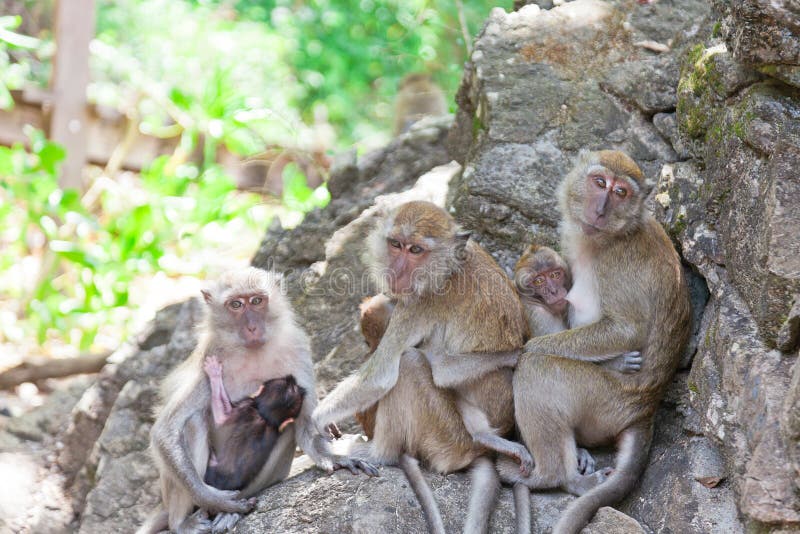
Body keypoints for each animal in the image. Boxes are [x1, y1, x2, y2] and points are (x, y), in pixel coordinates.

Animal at [312, 200, 530, 534]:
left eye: (416, 250)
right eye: (396, 244)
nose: (398, 271)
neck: (450, 267)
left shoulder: (420, 302)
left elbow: (381, 376)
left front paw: (311, 427)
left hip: (447, 437)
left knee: (410, 364)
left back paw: (377, 453)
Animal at [494, 150, 691, 534]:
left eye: (621, 192)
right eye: (600, 183)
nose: (600, 208)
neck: (608, 238)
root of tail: (645, 411)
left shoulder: (620, 264)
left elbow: (626, 329)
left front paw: (525, 349)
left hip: (603, 402)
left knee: (536, 371)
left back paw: (550, 477)